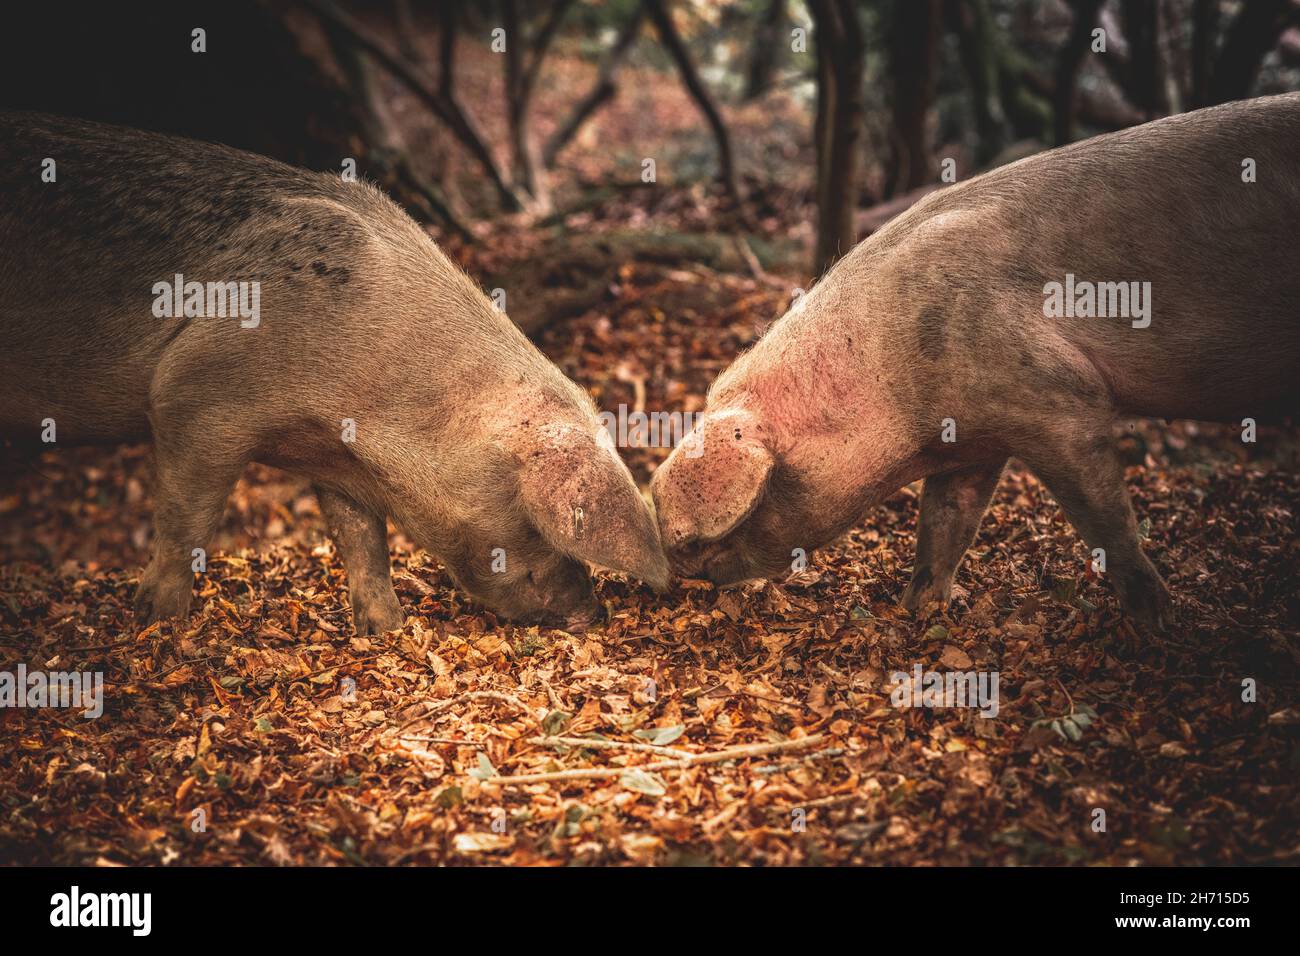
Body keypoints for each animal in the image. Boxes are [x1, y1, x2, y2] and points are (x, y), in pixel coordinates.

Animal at [0, 111, 668, 632]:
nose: (593, 613)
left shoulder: (335, 458)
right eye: (537, 523)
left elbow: (363, 539)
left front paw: (387, 630)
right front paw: (159, 622)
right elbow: (187, 518)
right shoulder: (193, 393)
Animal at [652, 94, 1300, 628]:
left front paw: (1159, 627)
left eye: (701, 541)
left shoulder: (1059, 400)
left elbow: (1106, 518)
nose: (676, 580)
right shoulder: (973, 440)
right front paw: (918, 612)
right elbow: (945, 524)